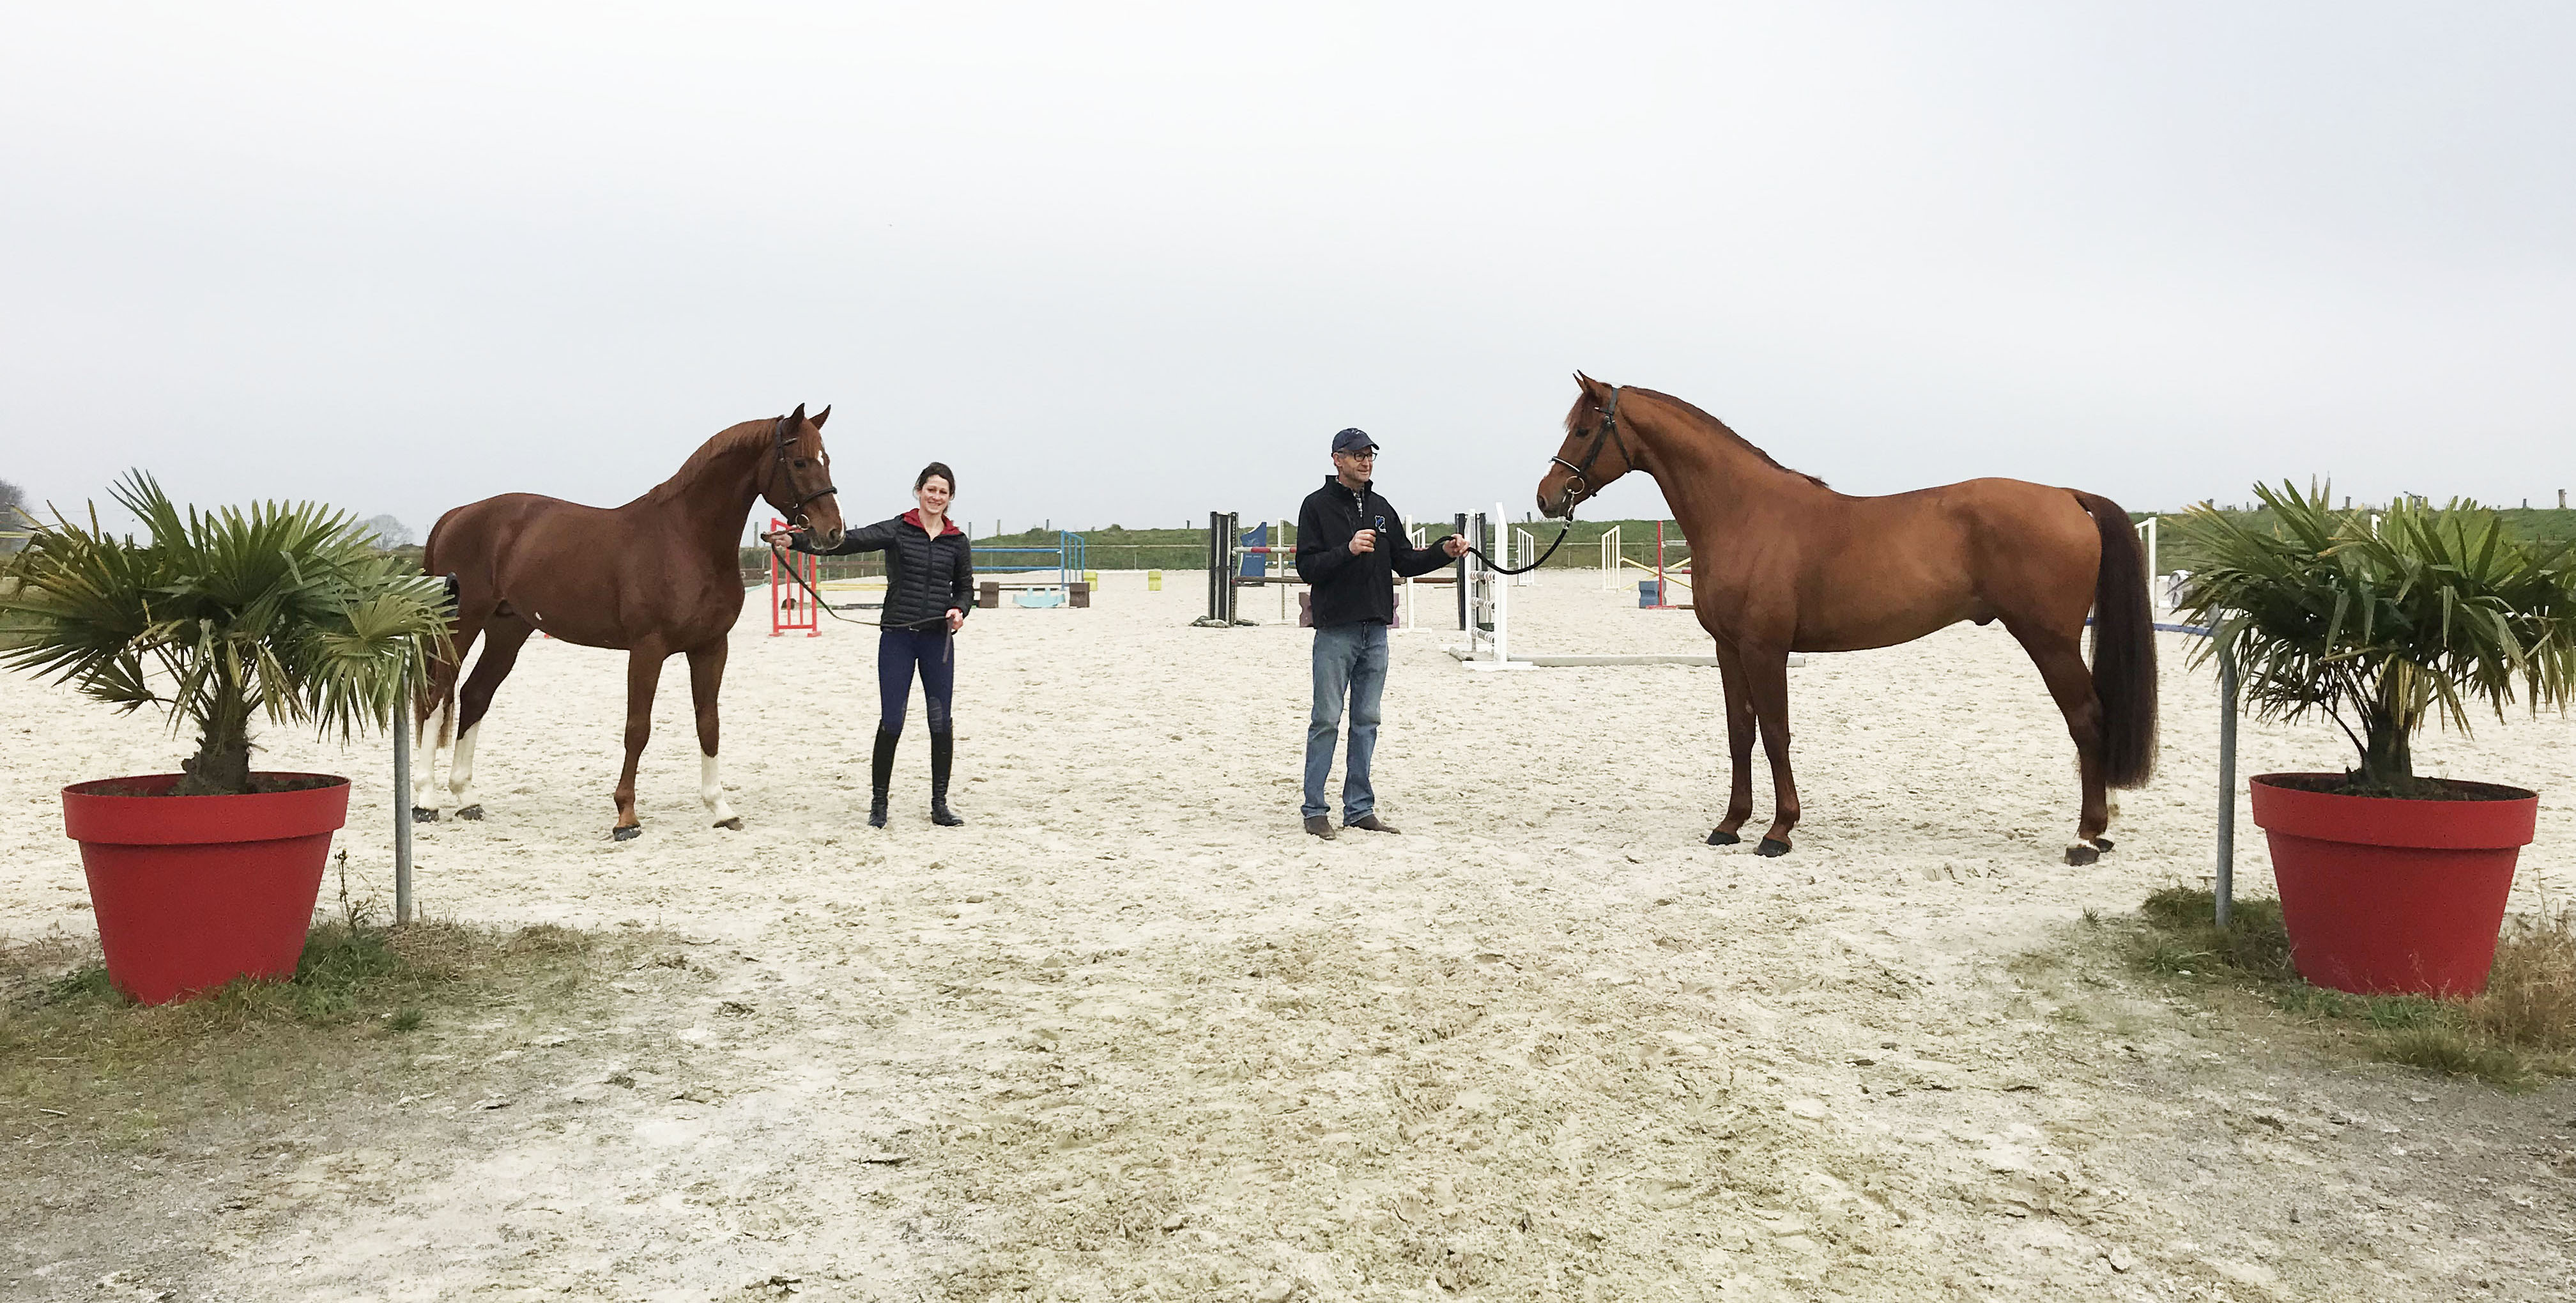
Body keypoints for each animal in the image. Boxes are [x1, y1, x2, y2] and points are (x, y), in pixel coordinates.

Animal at [411, 405, 846, 840]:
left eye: (827, 459)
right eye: (800, 462)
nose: (833, 532)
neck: (686, 538)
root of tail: (456, 516)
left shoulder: (711, 647)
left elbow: (709, 724)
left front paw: (721, 809)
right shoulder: (647, 649)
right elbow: (638, 728)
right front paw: (626, 817)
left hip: (508, 631)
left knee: (475, 696)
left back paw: (466, 797)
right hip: (461, 624)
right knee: (436, 696)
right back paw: (425, 801)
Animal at [1535, 374, 2157, 865]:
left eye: (1584, 431)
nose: (1546, 497)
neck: (1742, 511)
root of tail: (2068, 496)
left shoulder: (1765, 649)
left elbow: (1775, 733)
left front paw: (1779, 831)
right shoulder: (1727, 649)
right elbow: (1740, 733)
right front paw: (1730, 824)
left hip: (2050, 643)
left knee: (2087, 720)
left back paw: (2086, 837)